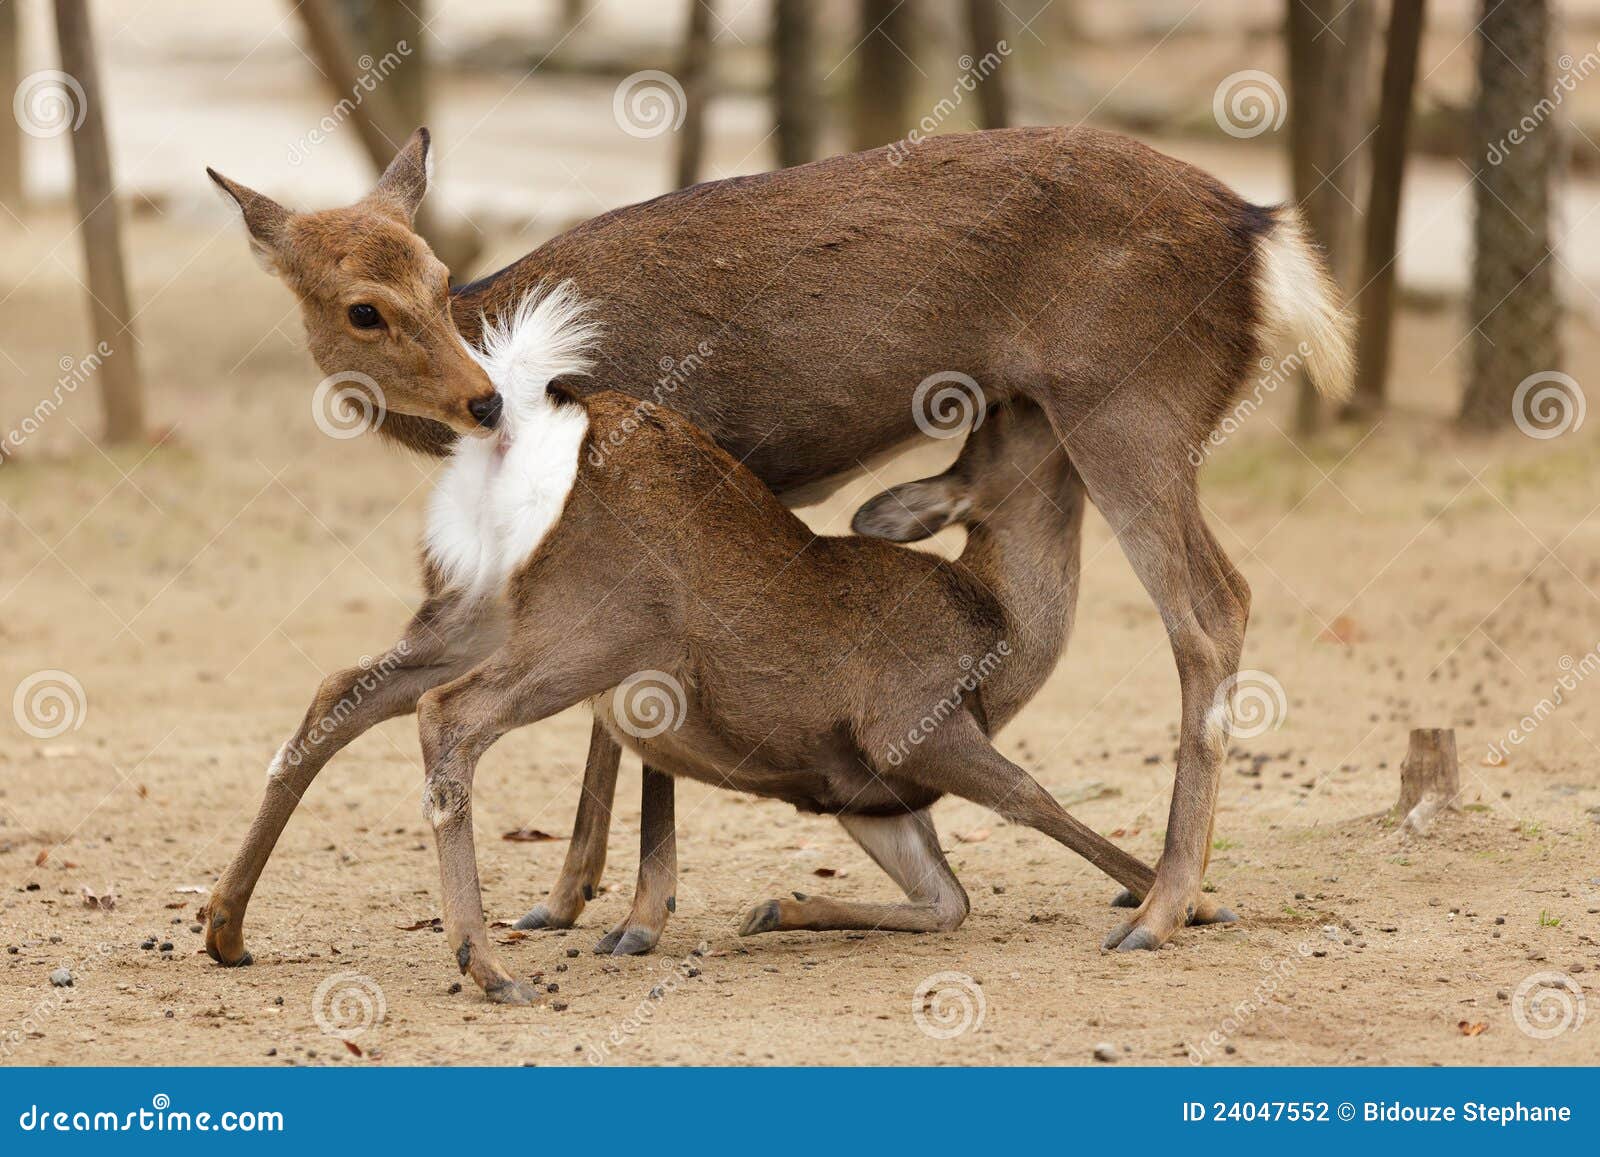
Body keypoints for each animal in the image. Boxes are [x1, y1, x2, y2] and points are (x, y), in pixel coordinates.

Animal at [201, 124, 1351, 973]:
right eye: (361, 306)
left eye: (438, 281)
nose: (479, 397)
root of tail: (1265, 240)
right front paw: (567, 899)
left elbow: (626, 722)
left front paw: (633, 912)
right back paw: (227, 922)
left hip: (1130, 404)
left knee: (1211, 605)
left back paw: (1162, 904)